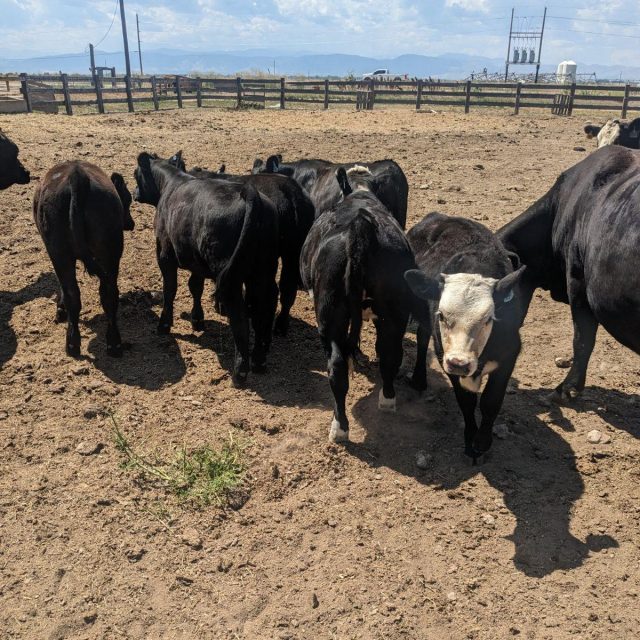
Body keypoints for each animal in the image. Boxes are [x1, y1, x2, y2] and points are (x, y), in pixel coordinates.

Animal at [33, 161, 134, 357]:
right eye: (127, 199)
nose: (131, 224)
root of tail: (77, 177)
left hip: (67, 252)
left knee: (88, 293)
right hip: (99, 253)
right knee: (100, 293)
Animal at [133, 152, 279, 387]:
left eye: (135, 174)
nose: (134, 192)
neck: (171, 184)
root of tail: (249, 193)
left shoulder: (164, 255)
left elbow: (169, 289)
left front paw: (164, 325)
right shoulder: (196, 263)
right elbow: (195, 287)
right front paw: (197, 320)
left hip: (230, 277)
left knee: (240, 317)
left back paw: (240, 371)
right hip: (263, 271)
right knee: (262, 310)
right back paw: (258, 360)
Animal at [300, 166, 416, 443]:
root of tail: (361, 227)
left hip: (329, 316)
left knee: (337, 367)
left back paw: (339, 427)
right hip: (394, 314)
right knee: (389, 354)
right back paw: (386, 400)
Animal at [404, 213, 525, 460]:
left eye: (488, 318)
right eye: (442, 315)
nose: (459, 363)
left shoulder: (510, 354)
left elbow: (491, 401)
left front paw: (482, 441)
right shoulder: (446, 357)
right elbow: (466, 402)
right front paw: (470, 440)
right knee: (422, 339)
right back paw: (419, 378)